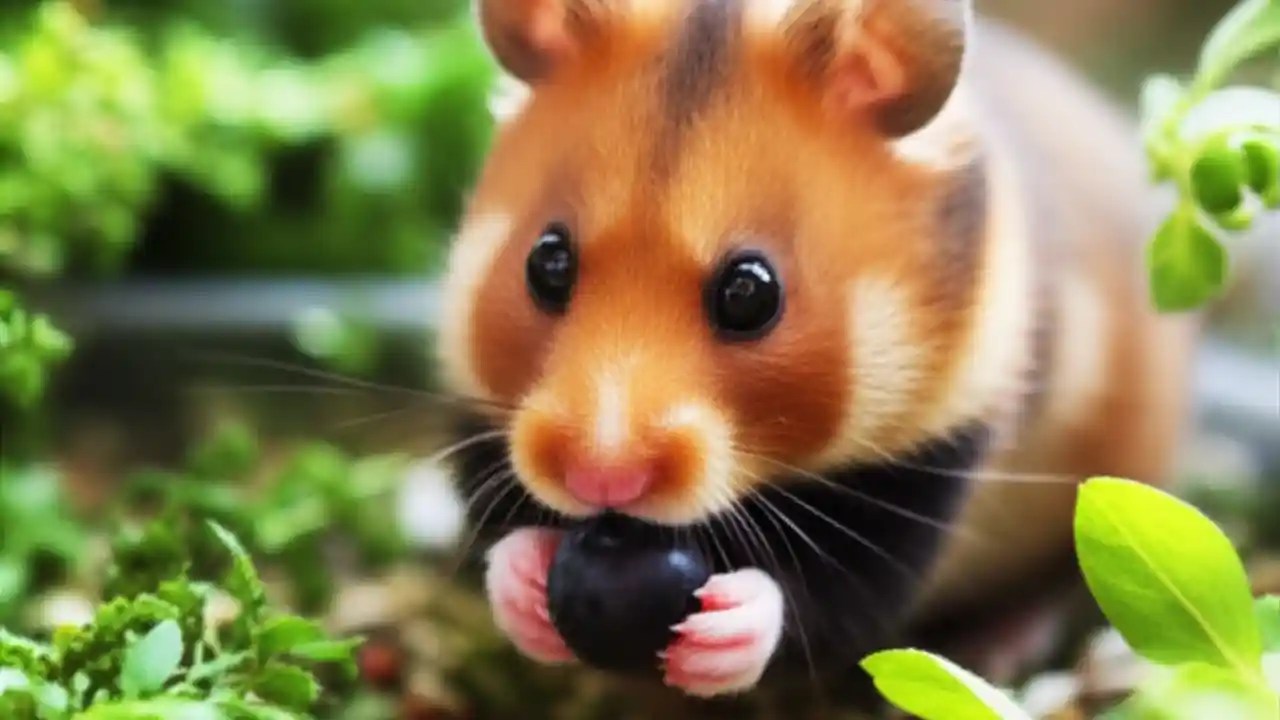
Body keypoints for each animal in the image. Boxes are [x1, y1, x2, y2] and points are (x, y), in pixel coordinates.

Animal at [435, 0, 1199, 702]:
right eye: (547, 263)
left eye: (750, 293)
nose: (600, 481)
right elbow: (494, 527)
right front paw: (524, 580)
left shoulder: (932, 464)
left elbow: (832, 601)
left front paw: (722, 628)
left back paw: (1004, 643)